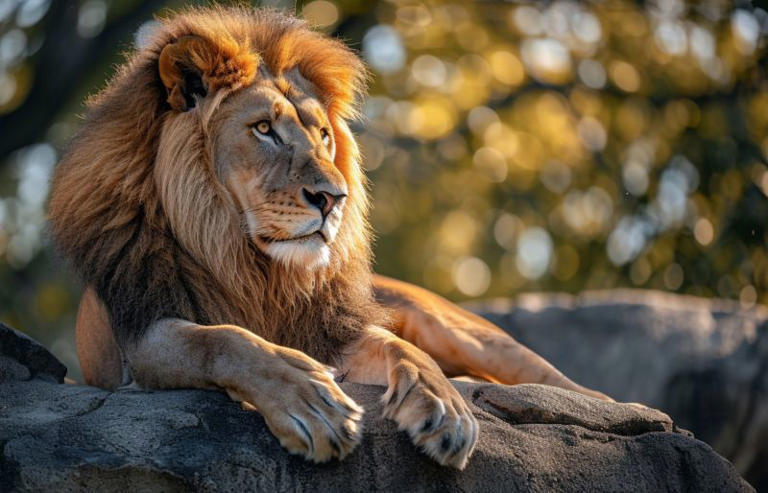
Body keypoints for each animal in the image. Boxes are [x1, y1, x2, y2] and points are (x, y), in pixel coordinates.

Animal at [49, 7, 609, 470]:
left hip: (470, 335)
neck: (250, 263)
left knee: (583, 393)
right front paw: (310, 402)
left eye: (322, 135)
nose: (333, 197)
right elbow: (226, 340)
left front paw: (444, 405)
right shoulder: (142, 336)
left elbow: (401, 347)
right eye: (263, 129)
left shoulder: (332, 330)